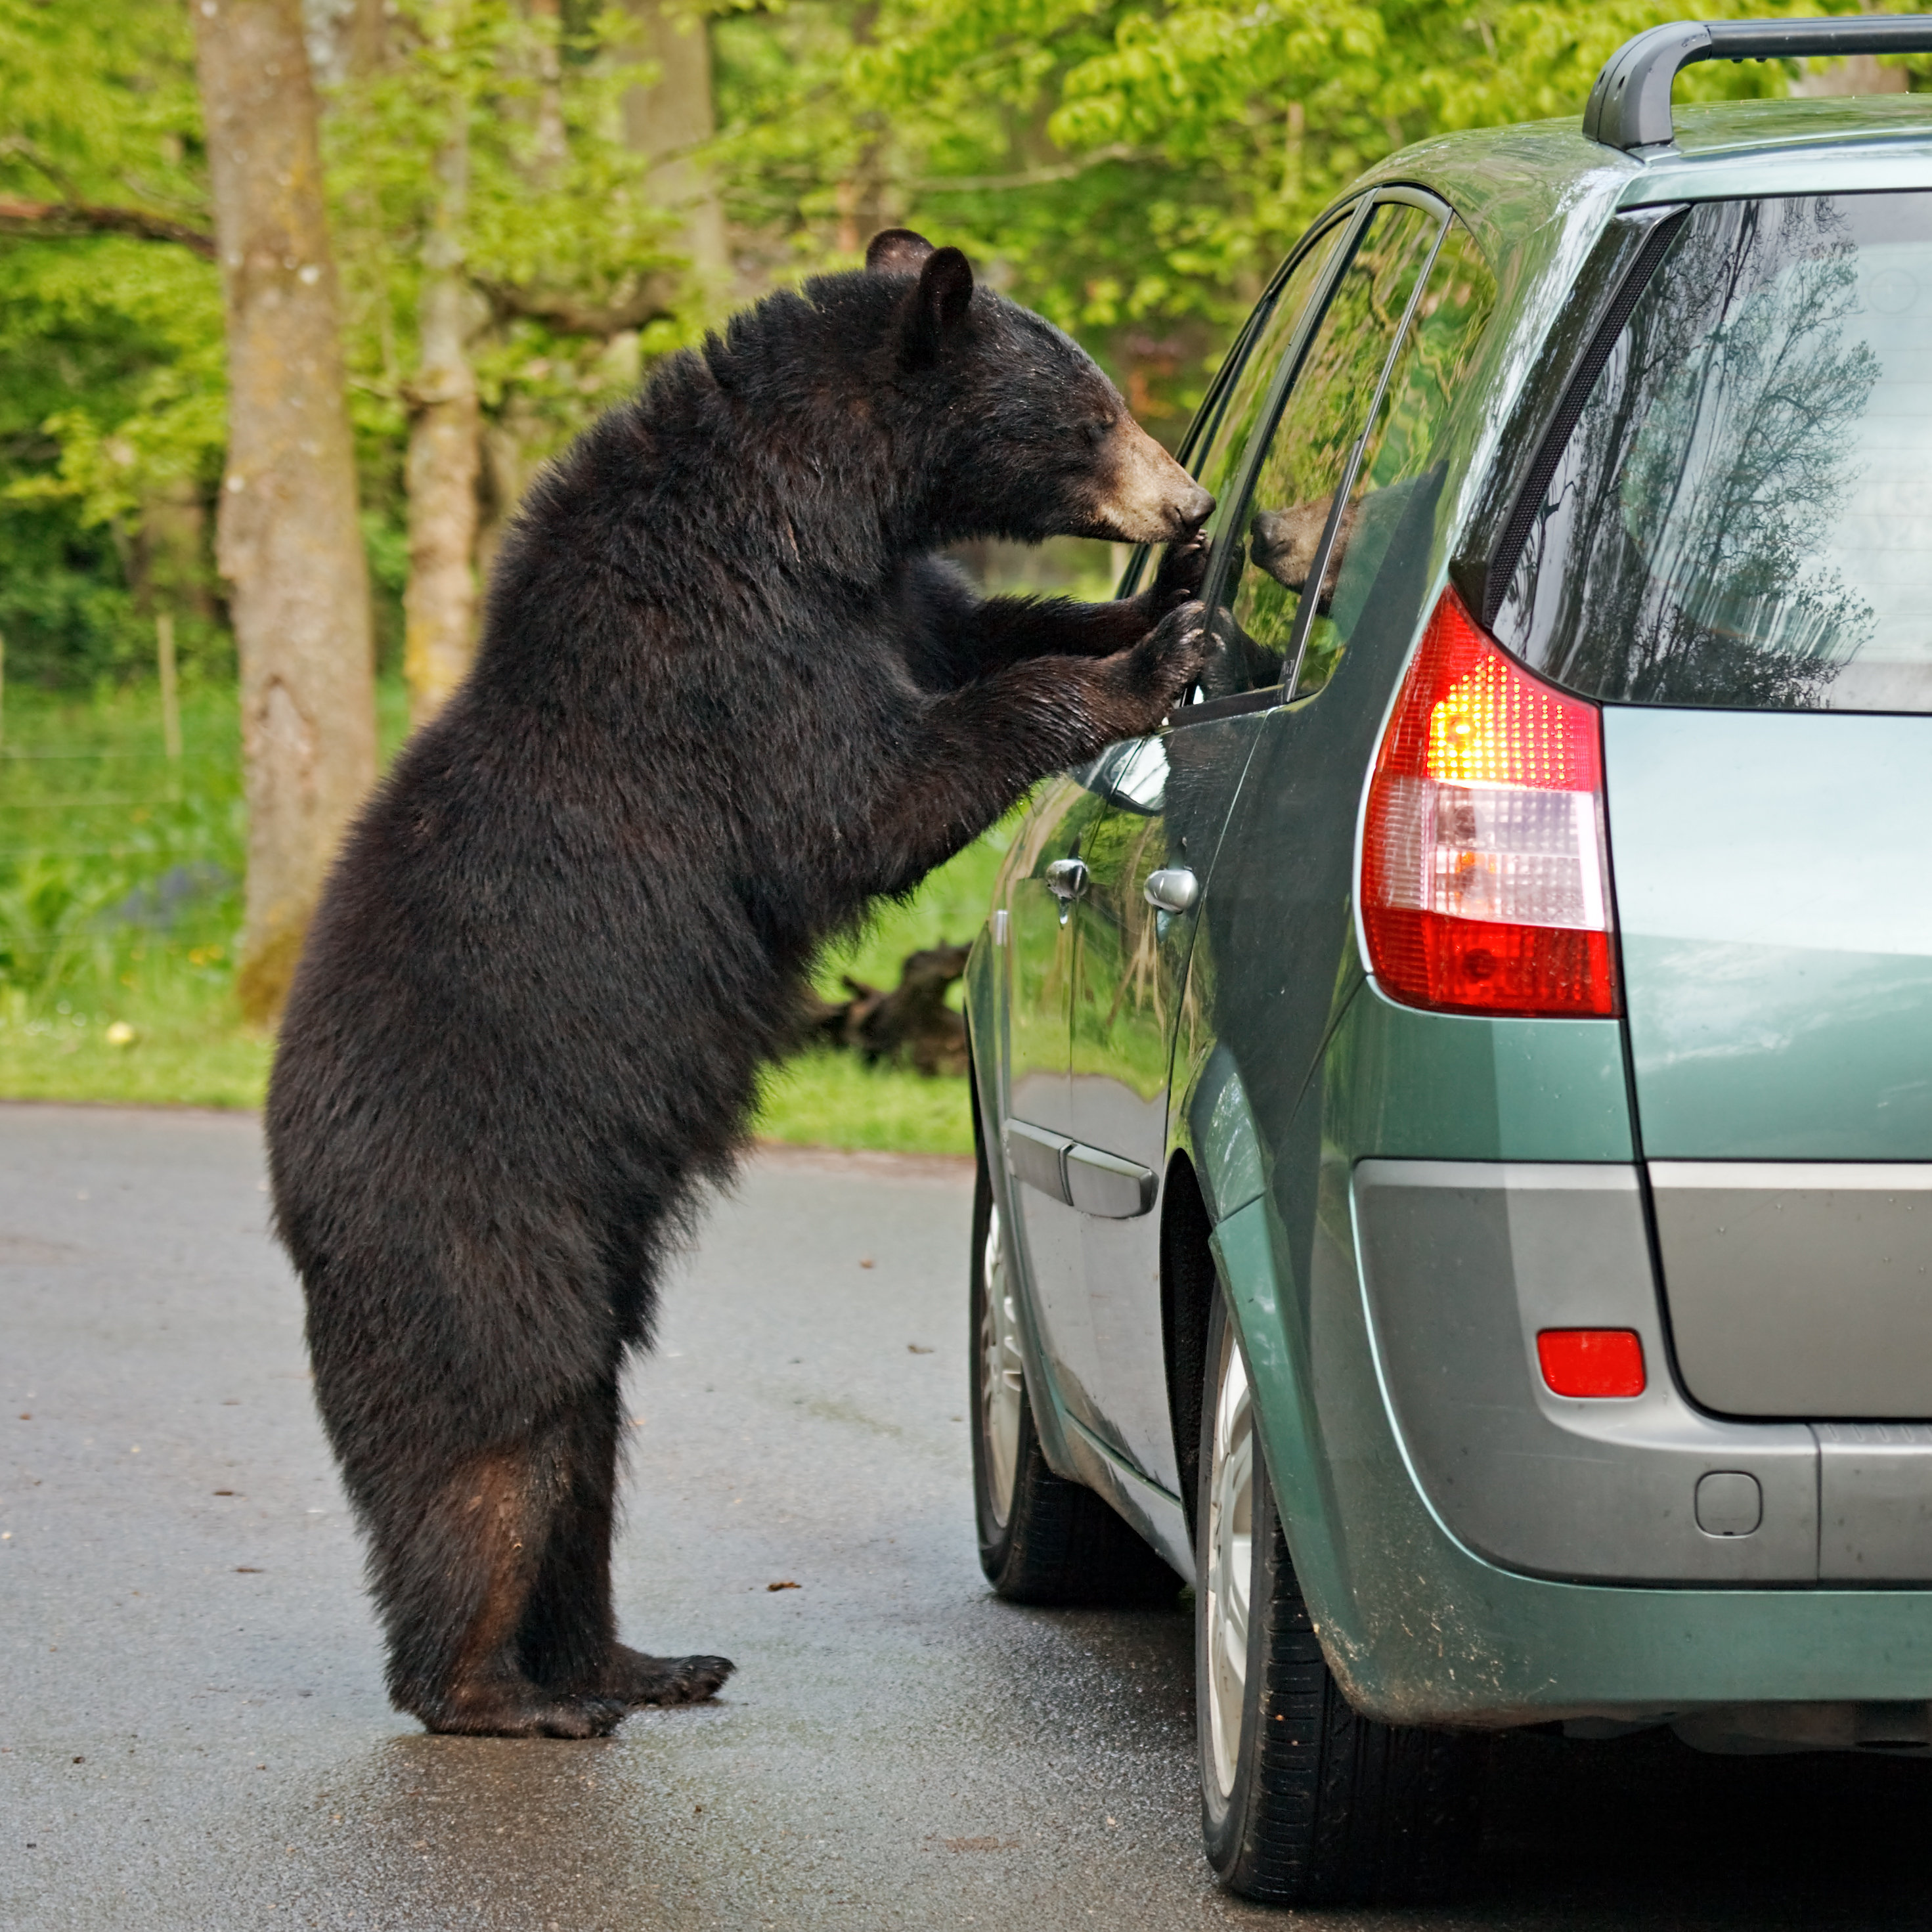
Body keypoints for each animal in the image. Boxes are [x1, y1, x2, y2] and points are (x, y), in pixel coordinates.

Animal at [266, 228, 1213, 1740]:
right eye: (1090, 414)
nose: (1185, 499)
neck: (811, 519)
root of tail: (291, 1186)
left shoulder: (892, 598)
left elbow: (984, 628)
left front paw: (1159, 602)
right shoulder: (730, 662)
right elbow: (865, 796)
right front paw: (1147, 656)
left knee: (585, 1451)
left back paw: (636, 1659)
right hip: (473, 1218)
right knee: (501, 1435)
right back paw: (498, 1690)